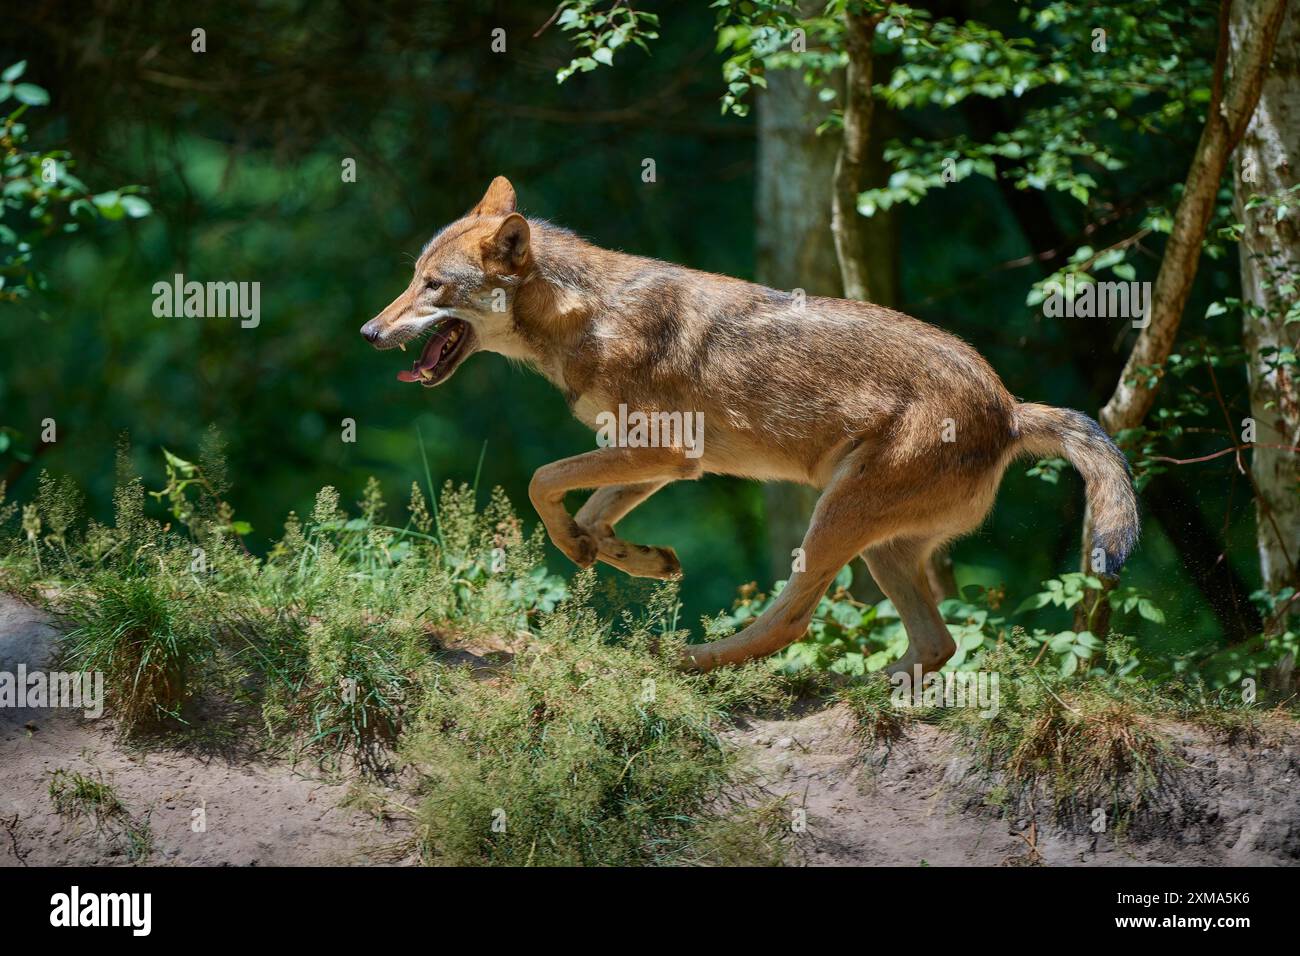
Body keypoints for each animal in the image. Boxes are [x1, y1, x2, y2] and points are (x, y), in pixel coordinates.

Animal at [362, 177, 1138, 672]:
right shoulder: (658, 458)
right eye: (410, 278)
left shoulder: (665, 451)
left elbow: (540, 480)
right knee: (935, 645)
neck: (585, 316)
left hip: (833, 520)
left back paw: (689, 659)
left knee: (792, 621)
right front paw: (629, 556)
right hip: (880, 549)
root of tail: (1009, 405)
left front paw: (589, 548)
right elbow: (590, 510)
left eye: (433, 287)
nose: (369, 332)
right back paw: (872, 695)